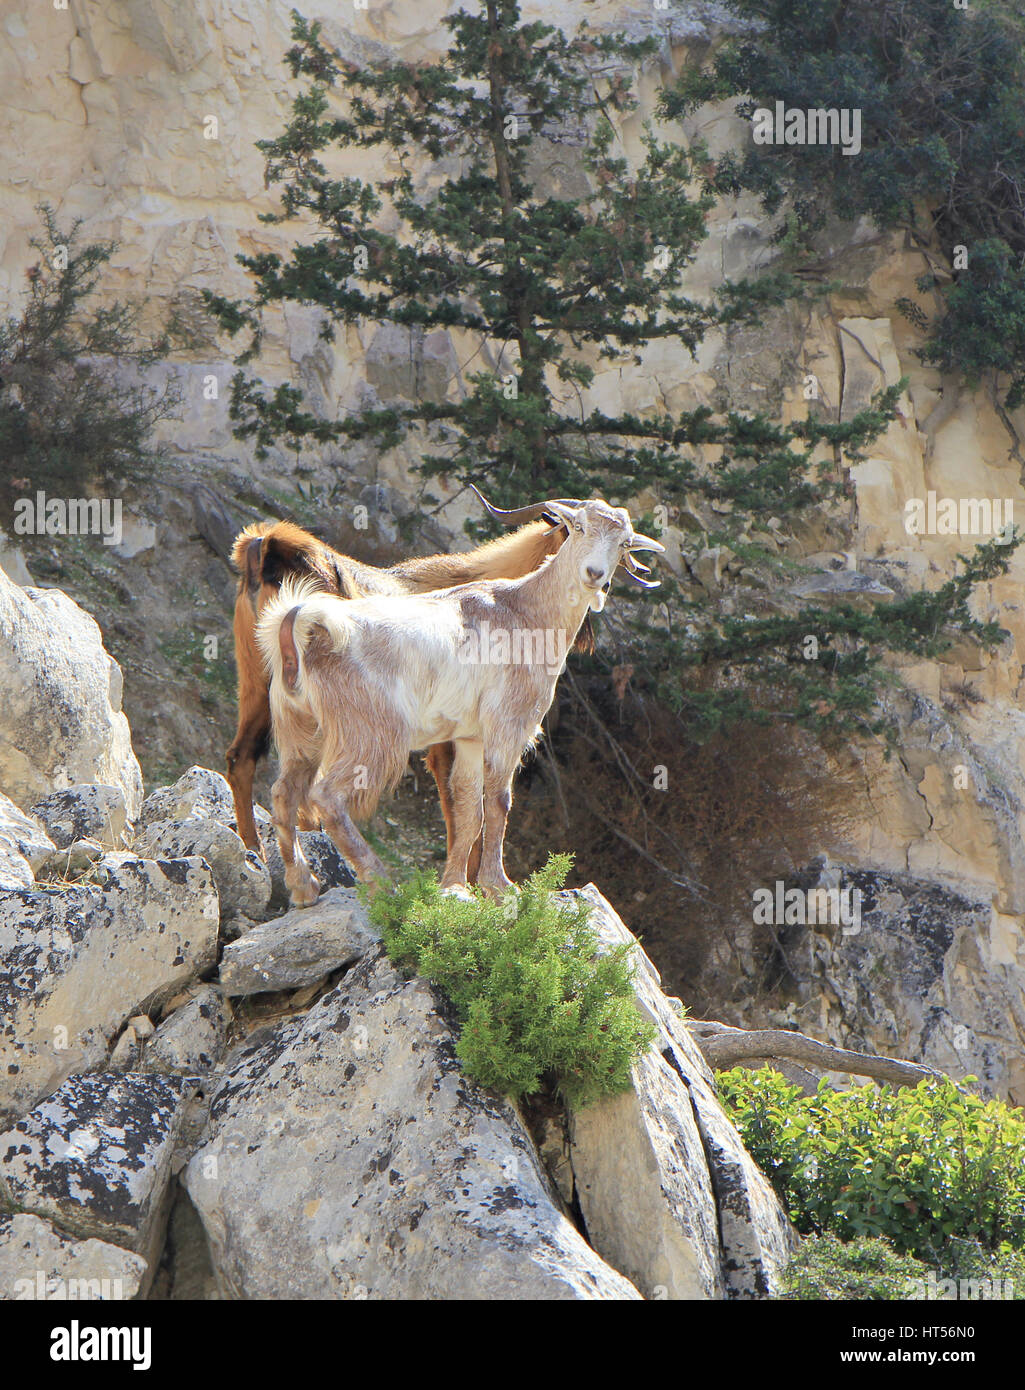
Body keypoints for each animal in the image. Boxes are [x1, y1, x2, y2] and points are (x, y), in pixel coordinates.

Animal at [255, 498, 664, 905]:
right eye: (578, 527)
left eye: (624, 543)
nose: (595, 574)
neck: (526, 612)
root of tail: (303, 628)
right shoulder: (507, 726)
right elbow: (498, 801)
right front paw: (500, 886)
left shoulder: (470, 738)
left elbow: (468, 810)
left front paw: (454, 885)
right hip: (370, 734)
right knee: (327, 796)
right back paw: (382, 883)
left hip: (300, 727)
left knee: (284, 792)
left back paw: (304, 887)